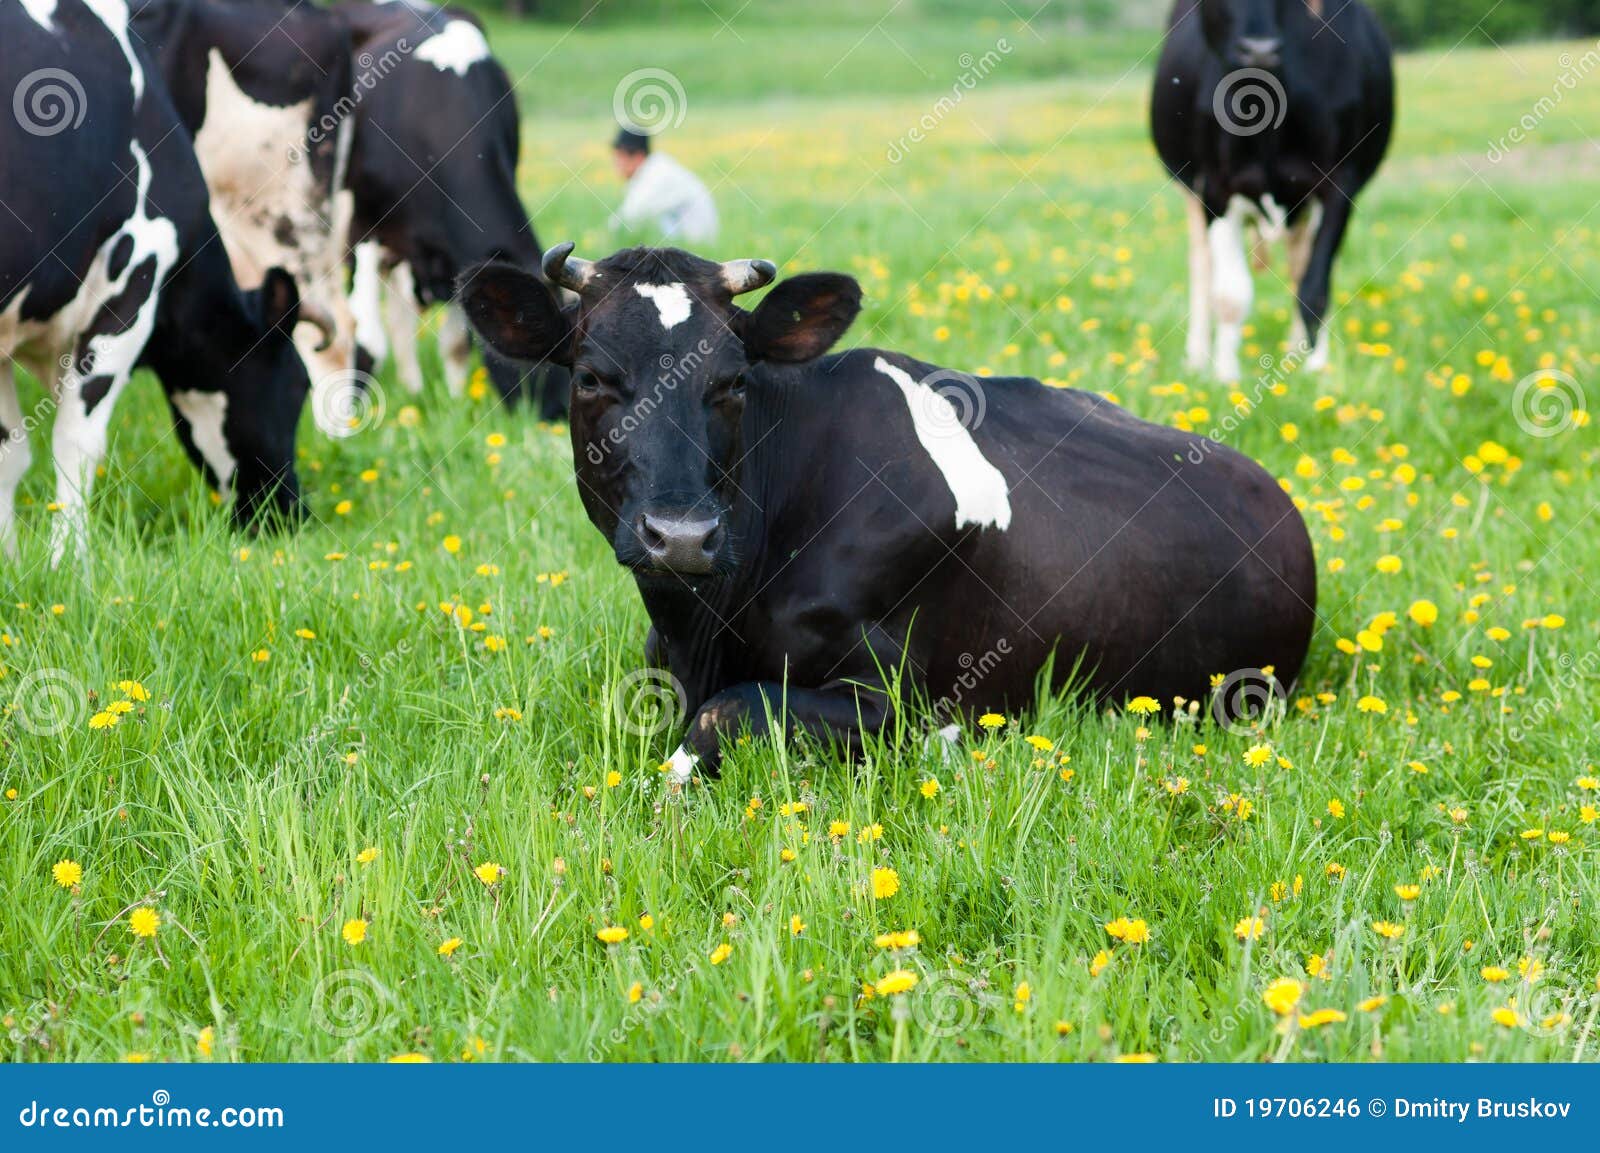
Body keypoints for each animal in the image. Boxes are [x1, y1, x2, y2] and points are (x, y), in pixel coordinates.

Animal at [2, 0, 311, 562]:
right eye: (299, 385)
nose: (290, 513)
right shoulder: (131, 282)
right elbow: (76, 440)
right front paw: (67, 561)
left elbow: (8, 451)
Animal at [334, 0, 566, 417]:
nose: (554, 417)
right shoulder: (365, 226)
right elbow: (367, 338)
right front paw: (348, 418)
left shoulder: (459, 257)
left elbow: (456, 345)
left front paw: (457, 407)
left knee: (402, 319)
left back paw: (412, 388)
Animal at [457, 245, 1318, 781]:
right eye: (592, 378)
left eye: (733, 381)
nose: (682, 536)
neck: (706, 623)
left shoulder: (890, 693)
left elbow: (721, 718)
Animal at [1150, 0, 1394, 381]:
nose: (1259, 50)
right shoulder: (1217, 187)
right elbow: (1230, 295)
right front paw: (1225, 375)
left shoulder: (1340, 185)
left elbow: (1315, 285)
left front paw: (1317, 366)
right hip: (1190, 186)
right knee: (1202, 264)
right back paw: (1197, 357)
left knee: (1298, 265)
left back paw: (1295, 350)